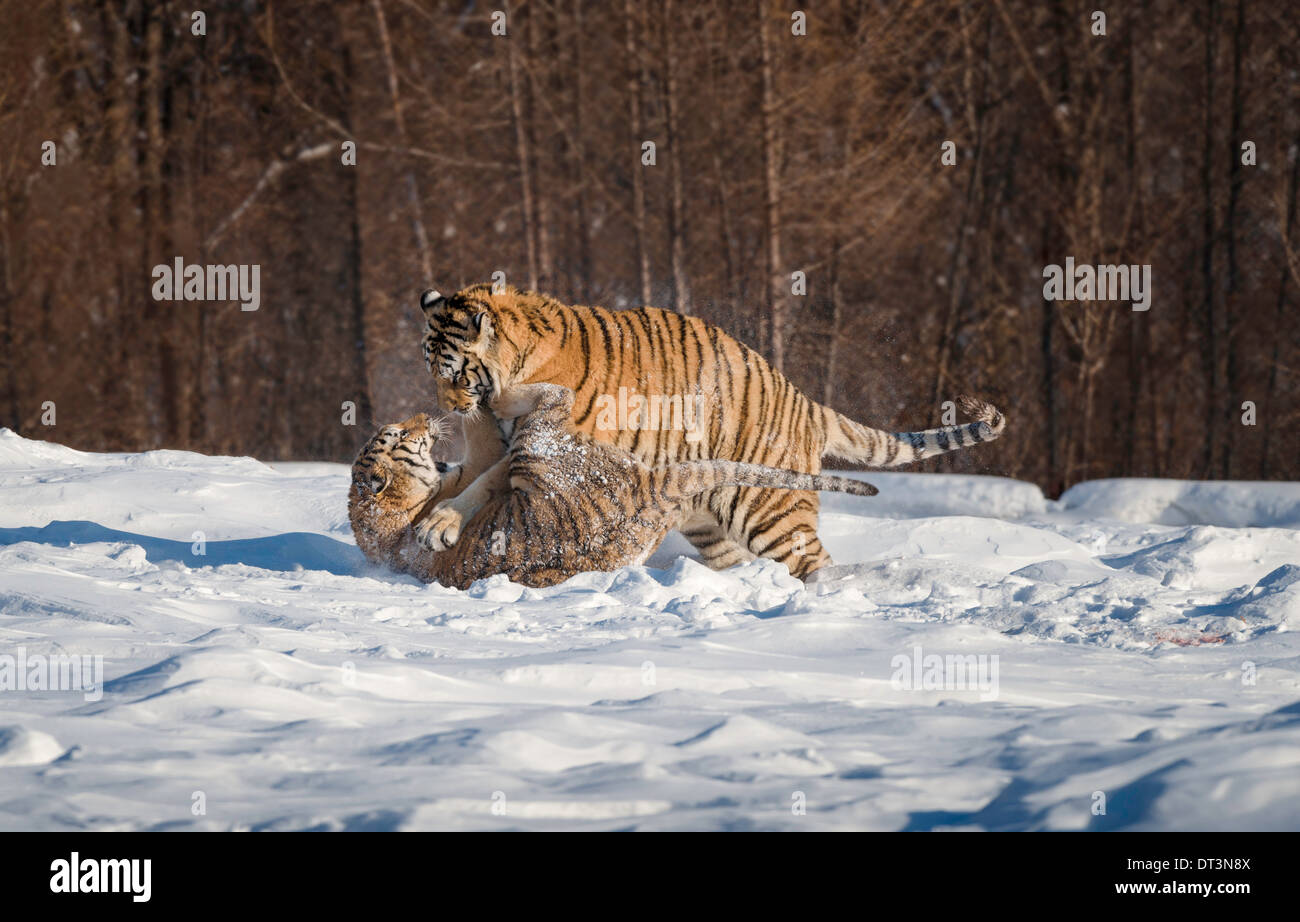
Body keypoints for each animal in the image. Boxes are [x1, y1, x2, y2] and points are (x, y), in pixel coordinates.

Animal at [347, 383, 880, 590]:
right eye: (398, 436)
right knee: (555, 396)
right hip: (546, 441)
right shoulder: (486, 465)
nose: (421, 418)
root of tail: (650, 487)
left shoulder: (472, 469)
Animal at [417, 283, 1006, 580]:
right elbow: (477, 477)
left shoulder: (552, 444)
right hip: (711, 522)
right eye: (430, 368)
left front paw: (437, 524)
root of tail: (806, 402)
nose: (448, 413)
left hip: (768, 508)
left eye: (453, 373)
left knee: (816, 562)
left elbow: (486, 481)